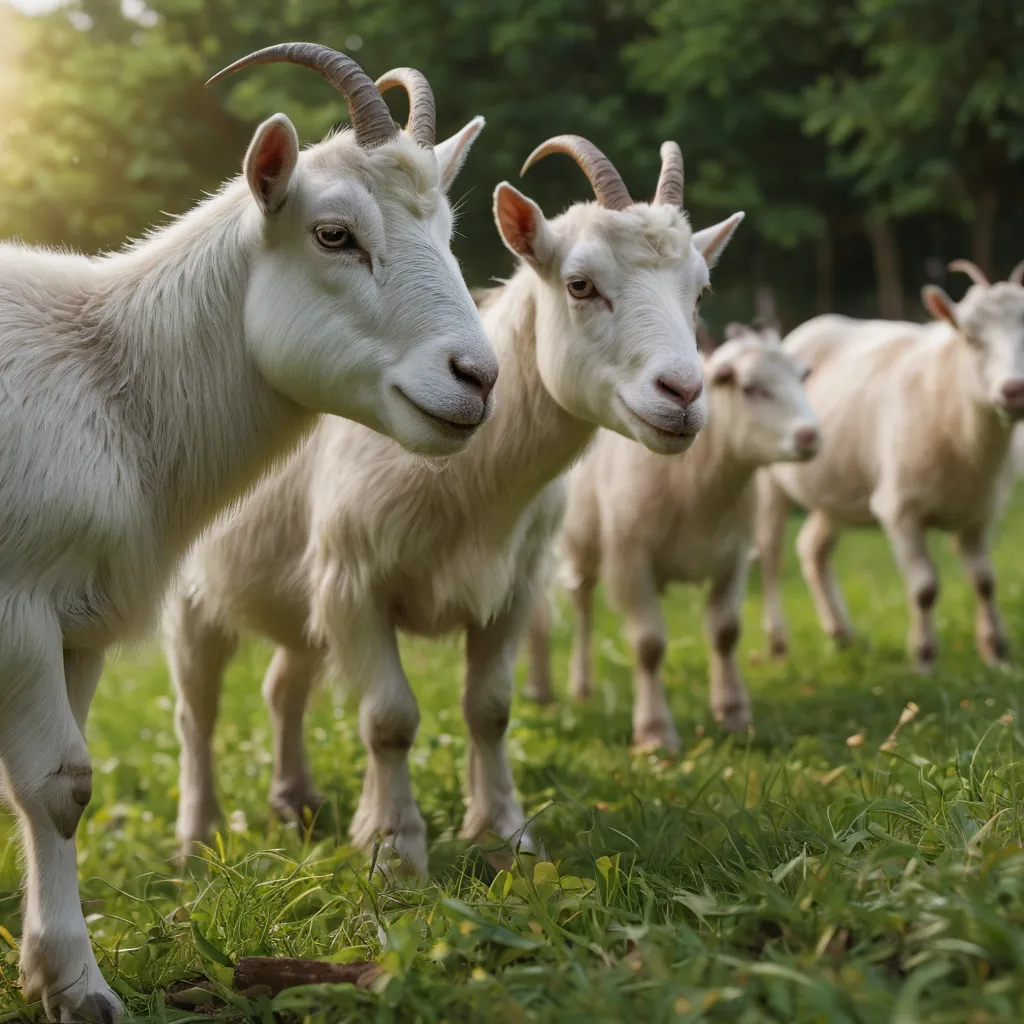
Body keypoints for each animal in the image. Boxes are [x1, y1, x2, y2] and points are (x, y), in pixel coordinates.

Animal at [0, 44, 497, 1022]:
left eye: (450, 231)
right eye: (334, 234)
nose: (478, 376)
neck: (109, 377)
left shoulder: (75, 624)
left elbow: (52, 790)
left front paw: (50, 971)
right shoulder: (19, 608)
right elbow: (61, 787)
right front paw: (81, 989)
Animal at [162, 131, 744, 878]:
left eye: (699, 291)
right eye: (580, 284)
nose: (684, 394)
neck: (471, 484)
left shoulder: (511, 587)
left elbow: (489, 709)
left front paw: (503, 833)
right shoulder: (354, 582)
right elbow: (389, 719)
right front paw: (394, 848)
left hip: (300, 600)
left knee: (283, 686)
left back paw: (297, 803)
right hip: (194, 596)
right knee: (197, 710)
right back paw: (198, 838)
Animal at [525, 336, 818, 752]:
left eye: (801, 377)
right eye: (750, 388)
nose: (811, 435)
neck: (696, 485)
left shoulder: (734, 556)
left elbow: (726, 632)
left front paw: (733, 711)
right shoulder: (629, 560)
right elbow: (649, 645)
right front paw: (654, 730)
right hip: (575, 549)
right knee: (575, 611)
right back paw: (560, 687)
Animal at [757, 259, 1024, 670]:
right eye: (971, 339)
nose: (1015, 391)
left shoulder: (982, 510)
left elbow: (984, 581)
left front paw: (996, 653)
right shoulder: (898, 508)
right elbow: (925, 586)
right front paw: (924, 658)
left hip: (837, 489)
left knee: (812, 548)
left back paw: (842, 635)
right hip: (769, 478)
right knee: (770, 554)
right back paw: (778, 643)